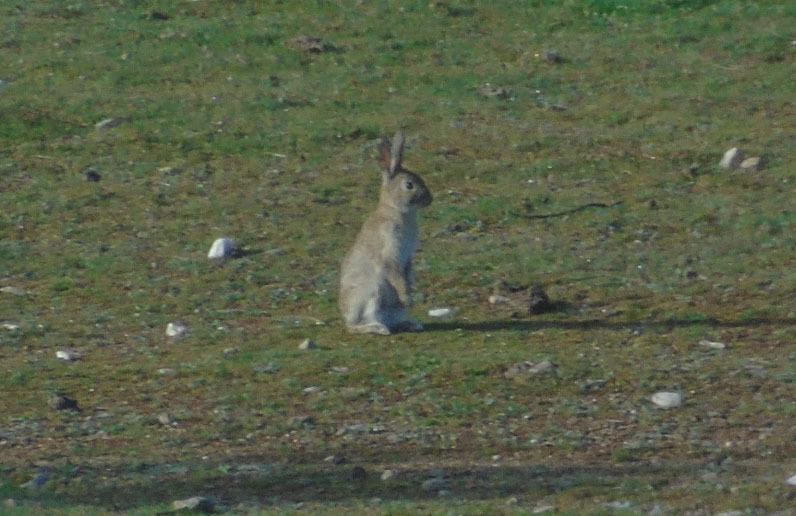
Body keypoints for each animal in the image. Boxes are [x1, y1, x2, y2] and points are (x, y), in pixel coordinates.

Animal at [339, 132, 433, 335]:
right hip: (372, 292)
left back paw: (411, 324)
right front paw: (407, 297)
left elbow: (407, 270)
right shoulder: (390, 250)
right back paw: (377, 328)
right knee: (355, 325)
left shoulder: (407, 256)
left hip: (392, 308)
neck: (396, 209)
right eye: (409, 185)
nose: (430, 199)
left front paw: (411, 293)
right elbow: (395, 272)